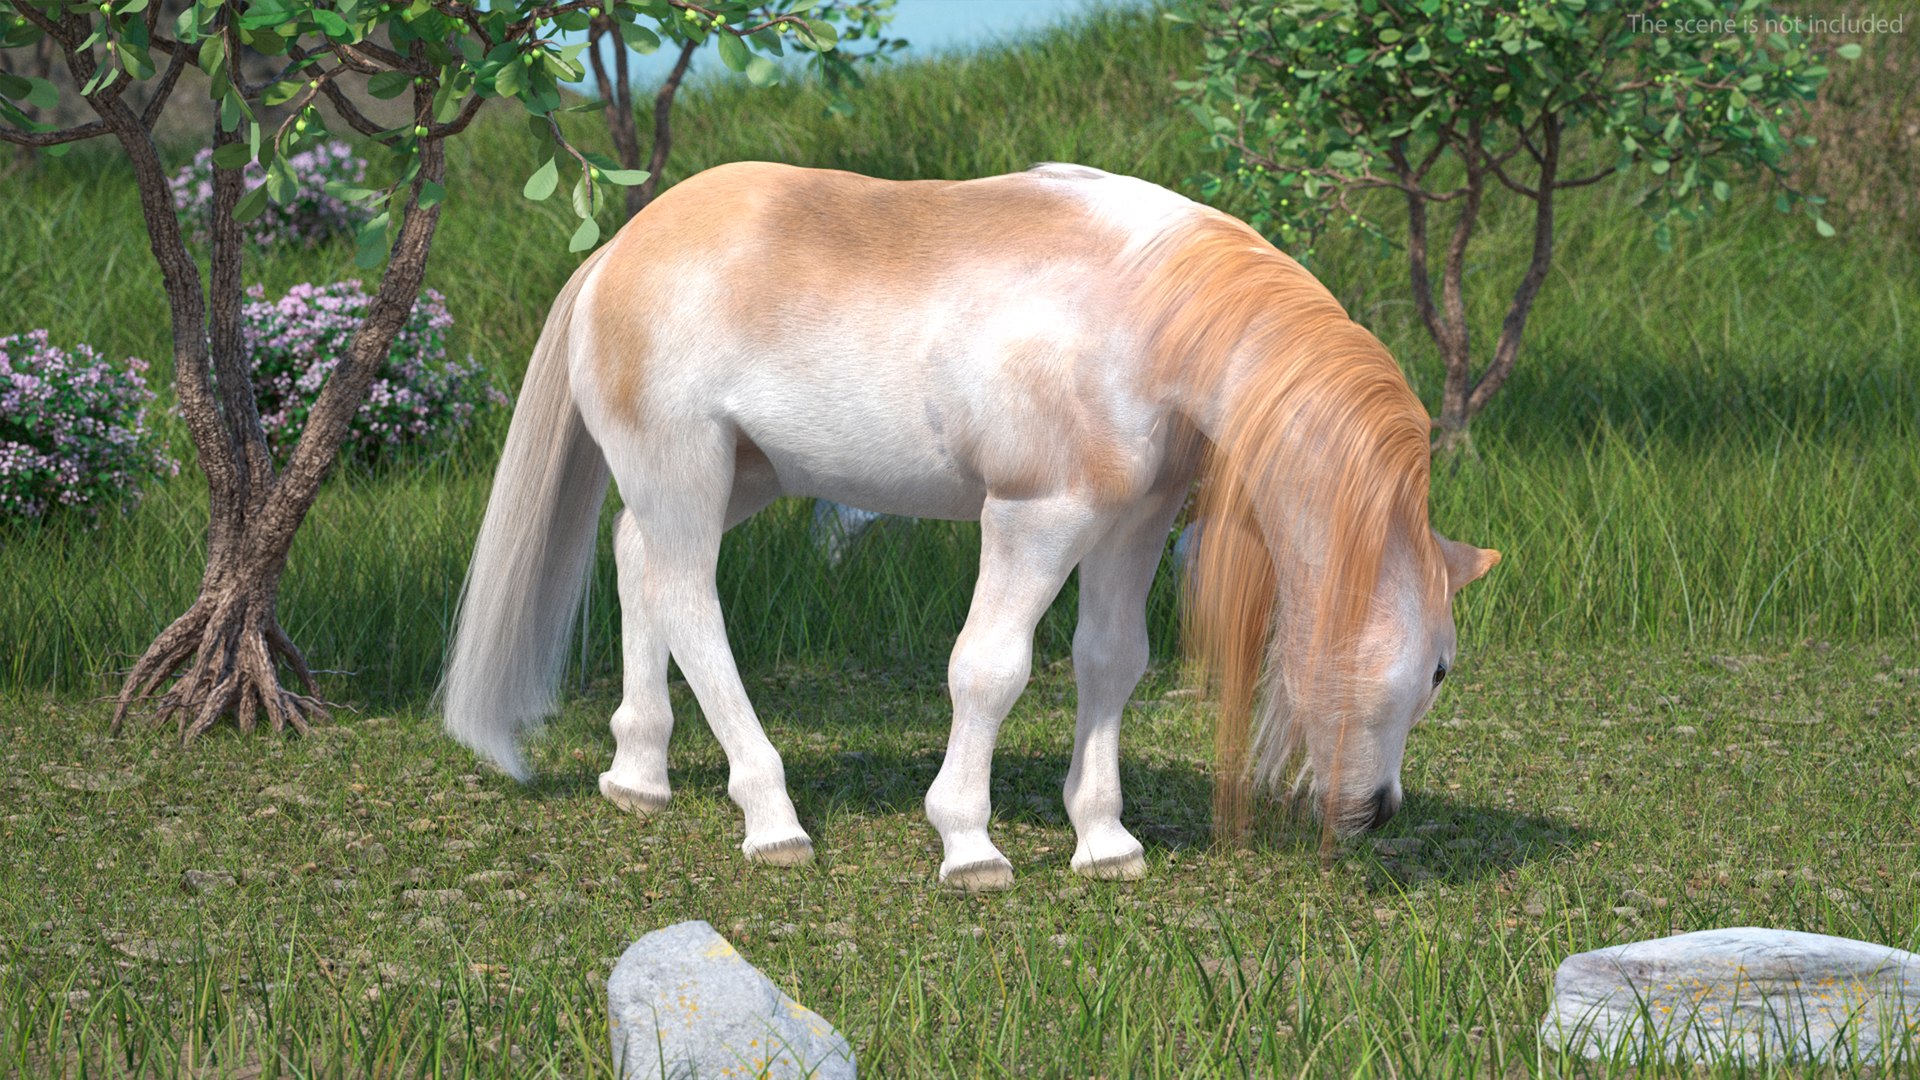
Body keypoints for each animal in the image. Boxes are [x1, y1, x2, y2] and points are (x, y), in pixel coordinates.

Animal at [440, 161, 1500, 891]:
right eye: (1440, 670)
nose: (1378, 813)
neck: (1149, 315)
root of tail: (616, 253)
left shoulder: (1131, 523)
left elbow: (1111, 662)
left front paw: (1104, 842)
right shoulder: (1035, 519)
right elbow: (989, 671)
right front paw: (968, 844)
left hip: (736, 478)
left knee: (640, 565)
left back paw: (639, 773)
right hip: (685, 472)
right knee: (694, 609)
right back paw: (772, 819)